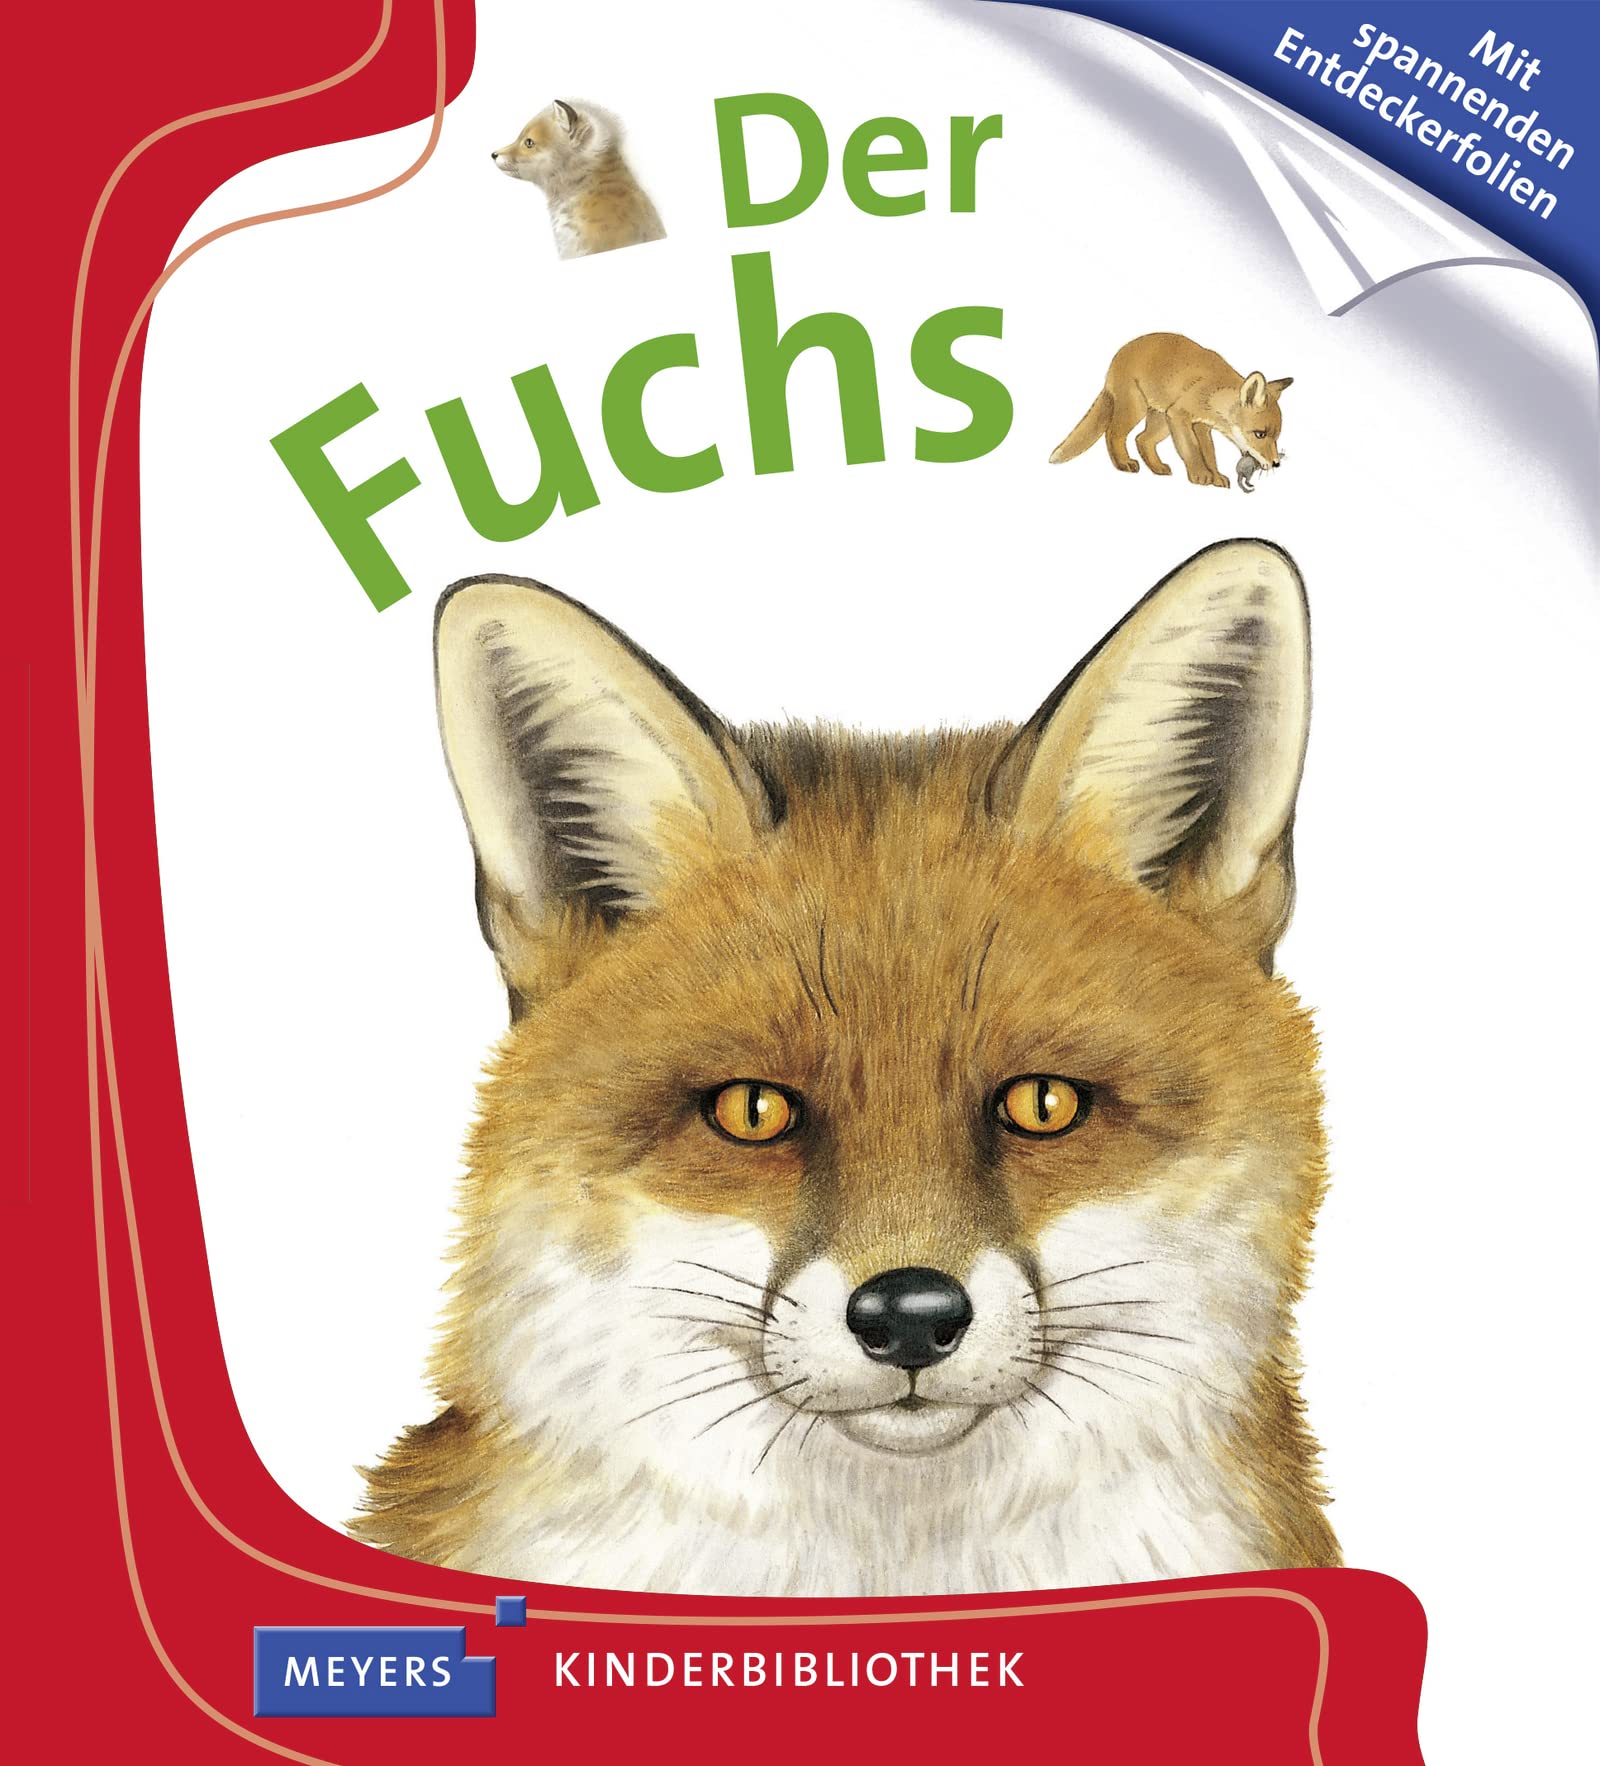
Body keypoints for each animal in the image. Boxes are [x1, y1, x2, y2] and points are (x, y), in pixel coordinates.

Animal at [1049, 333, 1293, 489]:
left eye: (1276, 437)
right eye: (1260, 434)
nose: (1276, 463)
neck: (1213, 392)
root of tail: (1116, 358)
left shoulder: (1201, 425)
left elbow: (1209, 453)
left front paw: (1215, 476)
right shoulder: (1179, 415)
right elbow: (1192, 449)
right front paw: (1200, 475)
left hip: (1161, 421)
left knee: (1142, 439)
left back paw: (1157, 467)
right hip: (1138, 410)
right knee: (1113, 433)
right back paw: (1123, 463)